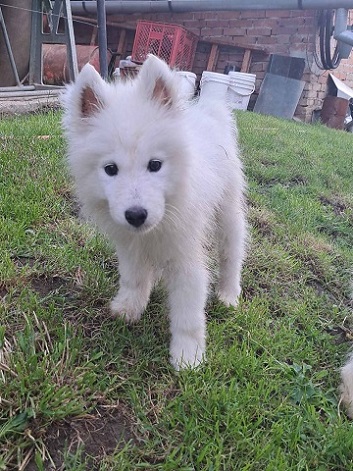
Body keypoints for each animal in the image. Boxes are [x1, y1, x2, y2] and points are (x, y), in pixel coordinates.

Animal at [62, 55, 246, 370]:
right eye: (110, 169)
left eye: (155, 165)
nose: (136, 215)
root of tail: (209, 113)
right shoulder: (130, 246)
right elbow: (134, 278)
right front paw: (129, 307)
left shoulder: (187, 255)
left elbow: (187, 310)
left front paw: (188, 356)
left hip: (227, 212)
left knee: (232, 253)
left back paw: (228, 293)